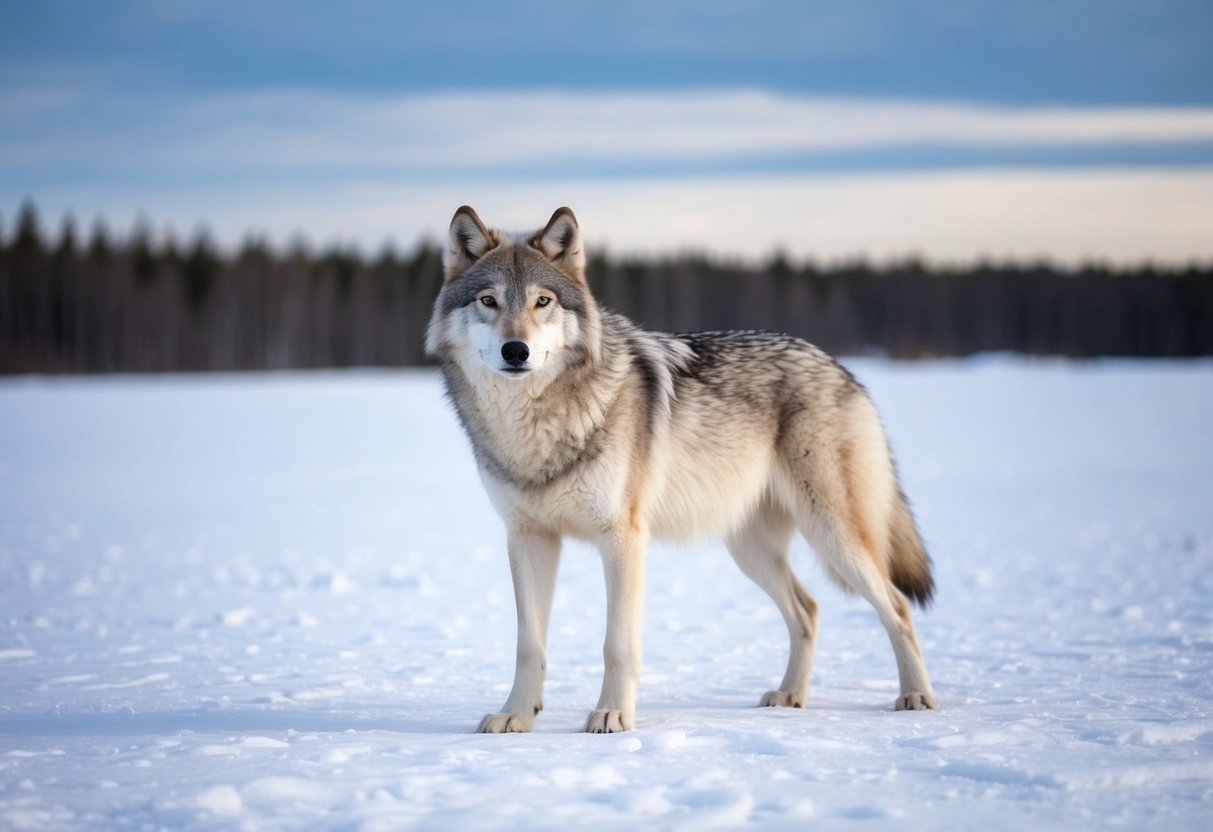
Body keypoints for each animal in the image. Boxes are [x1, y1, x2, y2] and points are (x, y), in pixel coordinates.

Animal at [425, 206, 938, 734]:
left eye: (542, 301)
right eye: (488, 301)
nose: (516, 351)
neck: (535, 427)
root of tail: (839, 366)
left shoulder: (623, 538)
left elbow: (616, 643)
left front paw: (612, 714)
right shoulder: (528, 538)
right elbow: (528, 645)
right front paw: (515, 716)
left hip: (832, 535)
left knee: (896, 606)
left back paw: (917, 696)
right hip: (750, 550)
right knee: (809, 609)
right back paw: (790, 696)